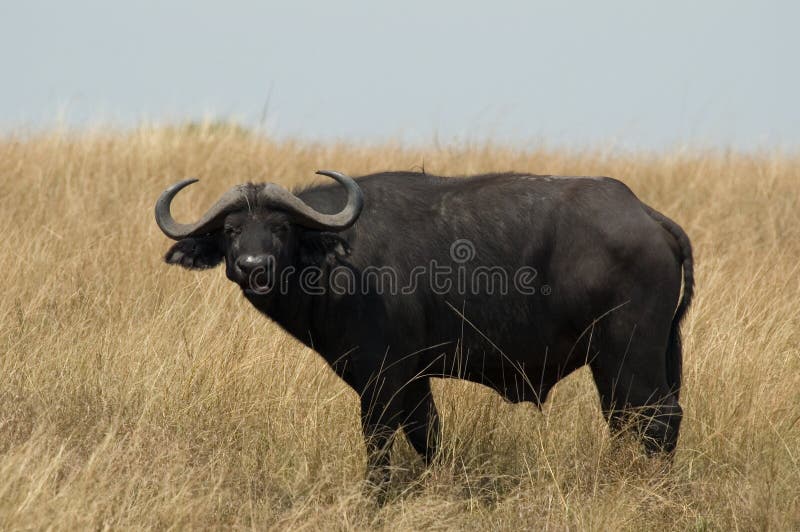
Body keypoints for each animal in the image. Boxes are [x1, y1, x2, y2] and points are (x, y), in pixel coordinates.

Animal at [155, 170, 693, 486]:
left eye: (281, 228)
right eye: (231, 231)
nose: (253, 267)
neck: (338, 261)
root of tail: (646, 216)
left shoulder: (381, 378)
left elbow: (379, 443)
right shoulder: (415, 379)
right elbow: (428, 436)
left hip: (629, 357)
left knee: (657, 420)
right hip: (628, 363)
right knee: (628, 421)